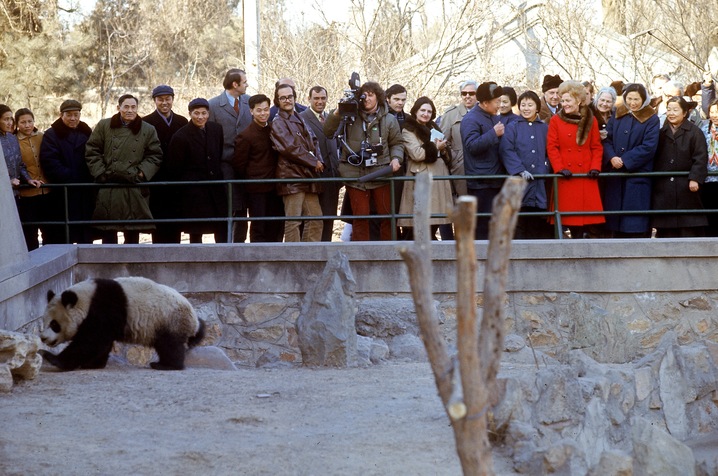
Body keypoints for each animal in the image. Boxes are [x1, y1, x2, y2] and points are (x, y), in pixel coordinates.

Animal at [39, 277, 205, 371]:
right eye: (44, 321)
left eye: (54, 325)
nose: (43, 338)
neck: (86, 300)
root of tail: (195, 322)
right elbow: (101, 343)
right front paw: (94, 364)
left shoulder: (104, 309)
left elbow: (90, 341)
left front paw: (51, 358)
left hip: (169, 319)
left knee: (170, 345)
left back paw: (165, 365)